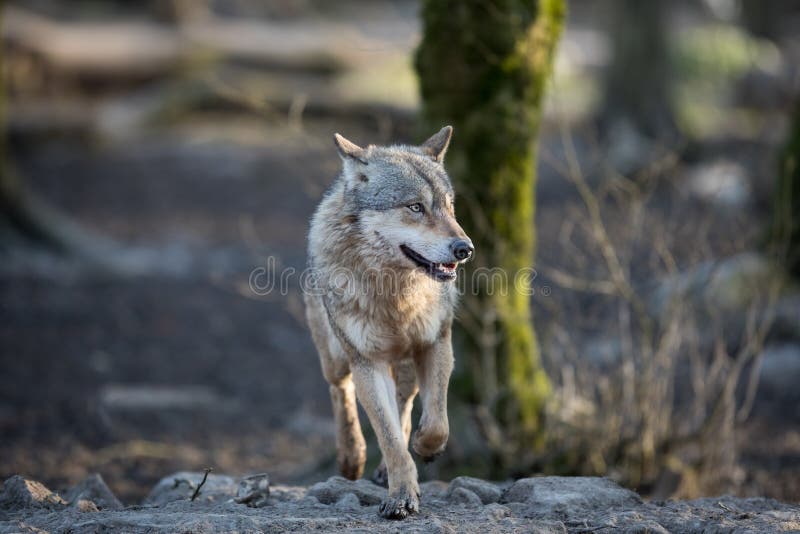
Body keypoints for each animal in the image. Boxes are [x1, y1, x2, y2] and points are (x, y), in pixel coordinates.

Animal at [304, 126, 473, 519]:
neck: (396, 296)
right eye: (415, 207)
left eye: (449, 206)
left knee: (406, 401)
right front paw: (402, 496)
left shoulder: (438, 342)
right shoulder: (367, 362)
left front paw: (425, 448)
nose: (465, 248)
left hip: (407, 360)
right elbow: (389, 437)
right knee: (340, 390)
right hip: (336, 357)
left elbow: (436, 423)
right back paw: (352, 457)